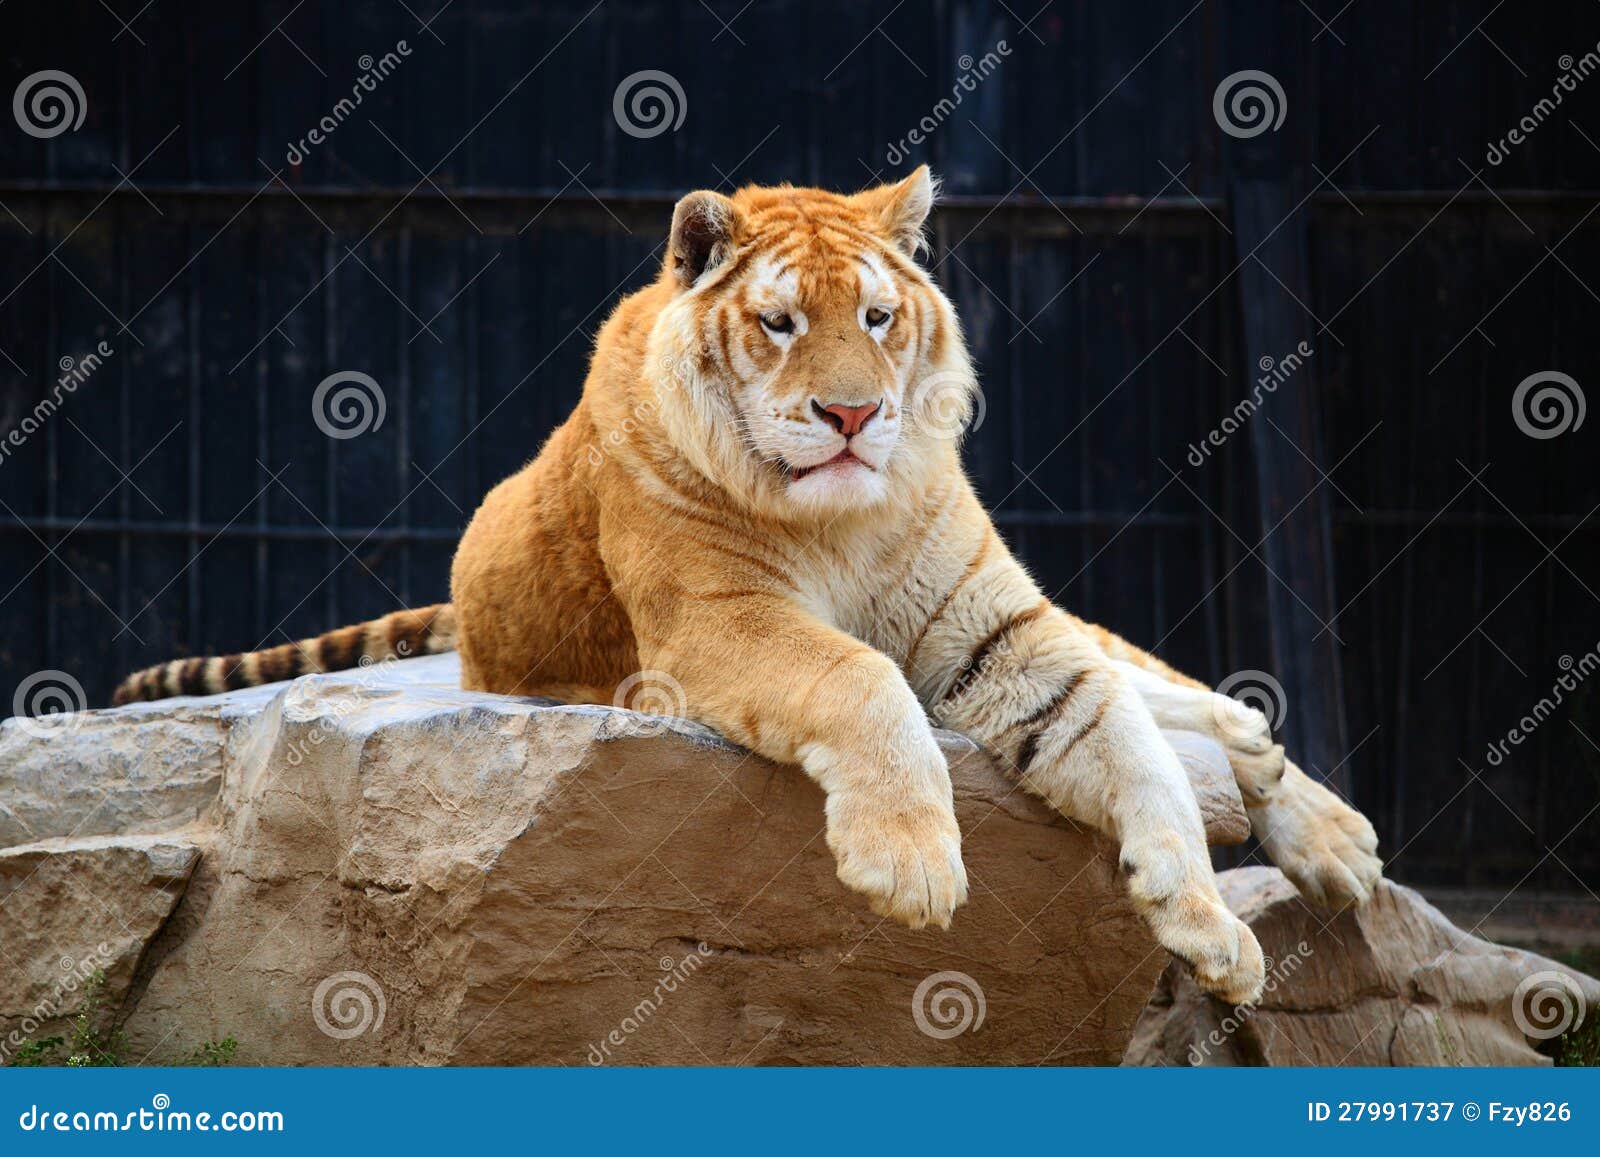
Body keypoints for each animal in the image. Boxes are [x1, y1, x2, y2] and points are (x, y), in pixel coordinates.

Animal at [112, 167, 1381, 1005]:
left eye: (877, 315)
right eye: (778, 323)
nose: (854, 413)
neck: (847, 519)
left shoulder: (1005, 629)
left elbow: (1121, 736)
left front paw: (1205, 920)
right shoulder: (716, 624)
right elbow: (865, 677)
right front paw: (912, 863)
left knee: (1150, 681)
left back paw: (1312, 809)